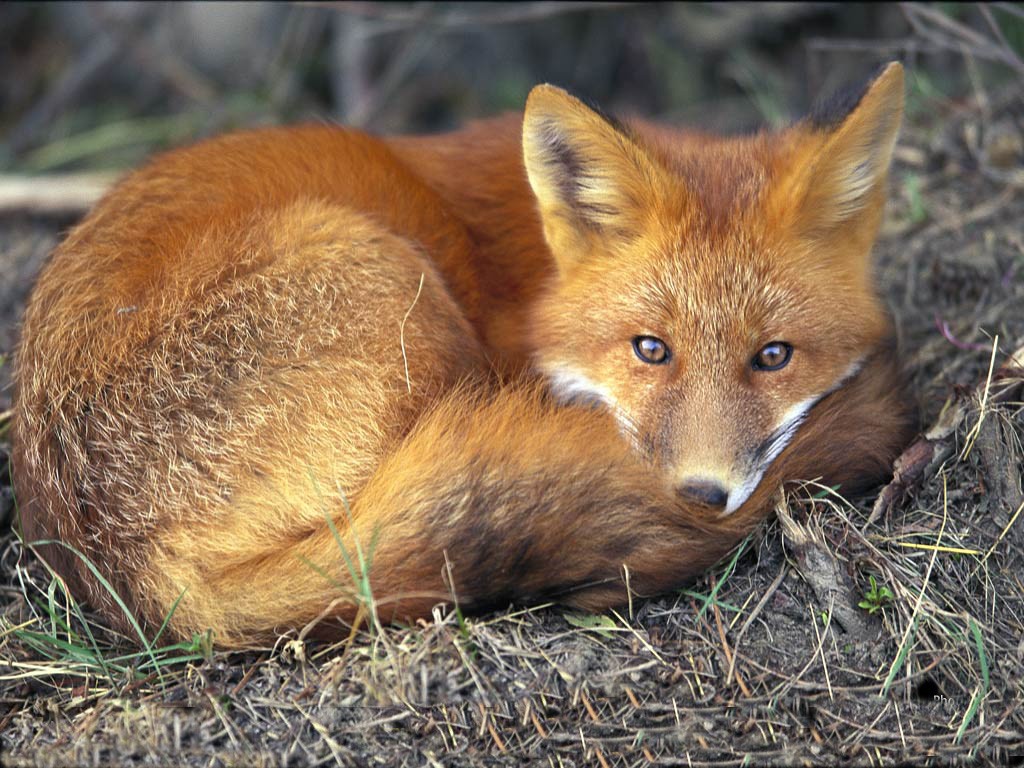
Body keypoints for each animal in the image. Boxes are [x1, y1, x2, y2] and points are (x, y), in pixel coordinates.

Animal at [12, 63, 915, 649]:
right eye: (651, 350)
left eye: (774, 356)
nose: (702, 495)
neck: (537, 272)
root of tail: (133, 575)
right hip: (391, 278)